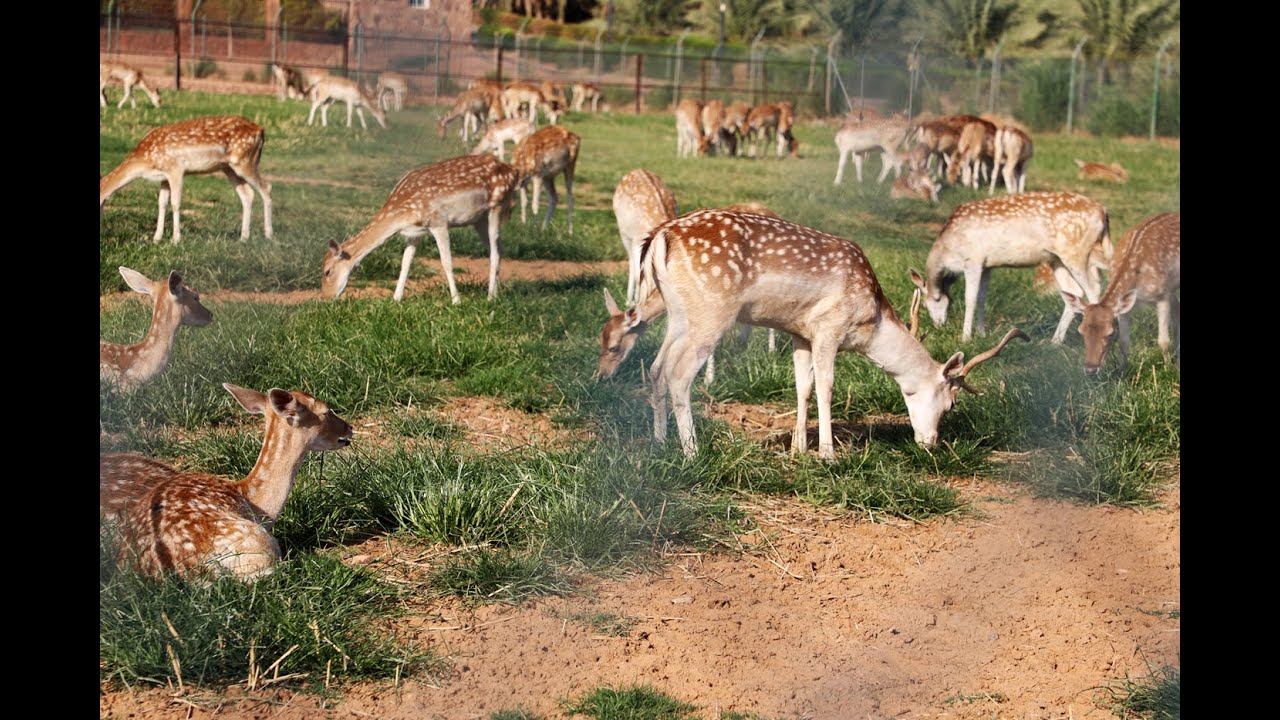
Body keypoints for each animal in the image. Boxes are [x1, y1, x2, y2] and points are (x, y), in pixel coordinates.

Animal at [100, 115, 274, 245]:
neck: (146, 160)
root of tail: (261, 130)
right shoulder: (164, 178)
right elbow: (162, 204)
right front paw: (156, 239)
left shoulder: (176, 169)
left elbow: (175, 204)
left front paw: (175, 240)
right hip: (229, 168)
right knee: (247, 194)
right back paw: (243, 238)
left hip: (245, 162)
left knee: (266, 187)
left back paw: (269, 235)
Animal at [322, 154, 520, 304]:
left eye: (327, 271)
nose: (325, 297)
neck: (401, 213)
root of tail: (514, 171)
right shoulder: (413, 233)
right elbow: (405, 263)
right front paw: (395, 299)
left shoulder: (439, 222)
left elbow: (446, 262)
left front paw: (456, 300)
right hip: (478, 219)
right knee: (499, 247)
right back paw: (496, 293)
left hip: (497, 206)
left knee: (495, 251)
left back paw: (490, 297)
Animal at [630, 208, 1026, 459]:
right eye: (952, 403)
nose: (930, 443)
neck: (871, 322)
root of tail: (659, 238)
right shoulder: (828, 328)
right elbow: (826, 386)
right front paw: (828, 452)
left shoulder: (799, 333)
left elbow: (802, 386)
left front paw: (799, 448)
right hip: (711, 313)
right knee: (679, 375)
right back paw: (693, 452)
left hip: (678, 314)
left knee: (657, 368)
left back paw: (658, 444)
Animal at [911, 191, 1113, 345]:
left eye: (932, 301)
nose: (939, 326)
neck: (948, 247)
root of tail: (1103, 211)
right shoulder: (987, 266)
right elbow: (982, 298)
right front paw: (981, 334)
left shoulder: (973, 260)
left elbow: (970, 298)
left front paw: (966, 338)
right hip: (1057, 258)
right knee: (1073, 291)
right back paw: (1055, 341)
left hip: (1075, 252)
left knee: (1093, 289)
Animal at [1062, 212, 1179, 374]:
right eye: (1081, 331)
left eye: (1110, 333)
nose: (1090, 369)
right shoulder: (1124, 309)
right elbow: (1124, 342)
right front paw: (1122, 371)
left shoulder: (1163, 294)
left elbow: (1163, 341)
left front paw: (1169, 370)